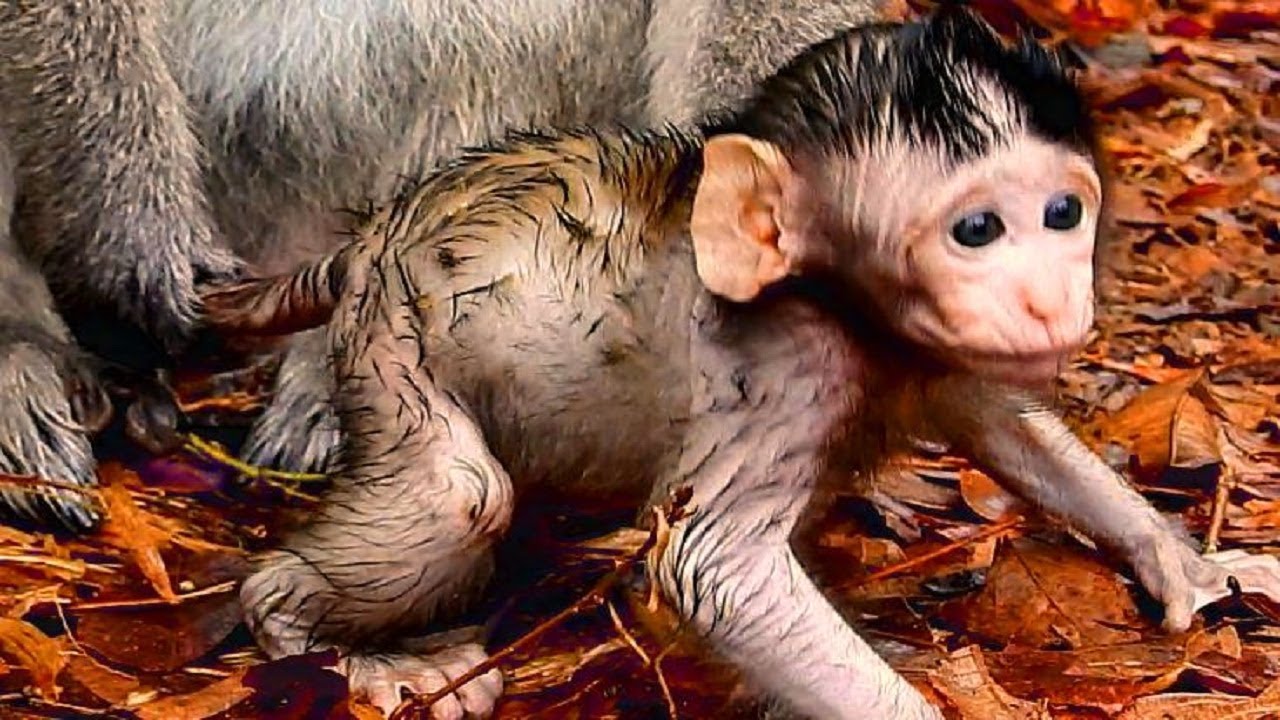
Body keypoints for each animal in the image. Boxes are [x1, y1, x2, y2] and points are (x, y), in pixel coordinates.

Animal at [198, 9, 1280, 719]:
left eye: (1062, 212)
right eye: (977, 230)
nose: (1050, 298)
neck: (826, 294)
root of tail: (369, 237)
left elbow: (999, 422)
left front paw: (1183, 564)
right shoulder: (782, 369)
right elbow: (711, 568)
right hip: (392, 343)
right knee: (458, 496)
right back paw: (335, 645)